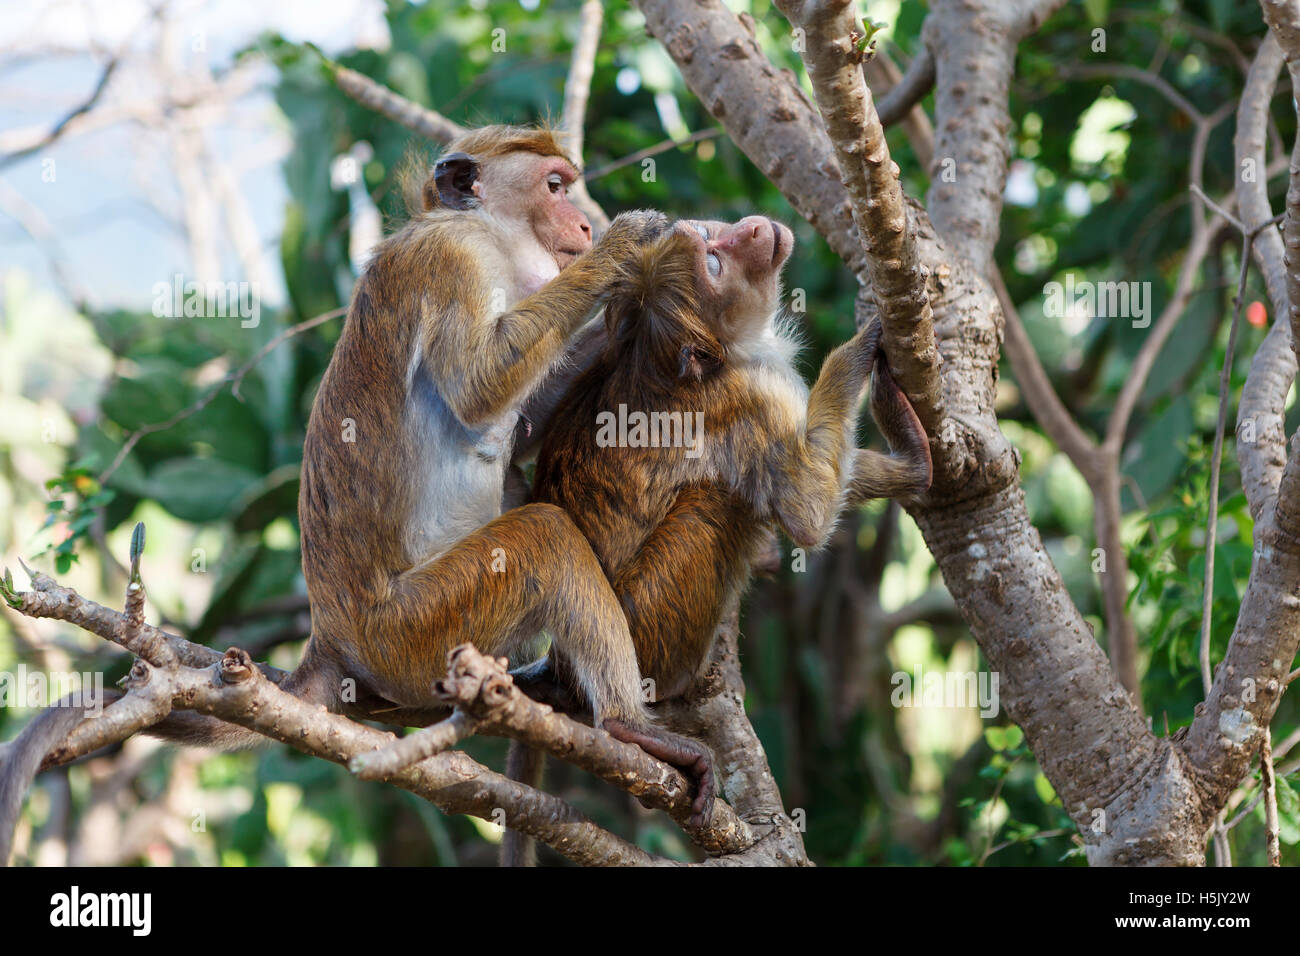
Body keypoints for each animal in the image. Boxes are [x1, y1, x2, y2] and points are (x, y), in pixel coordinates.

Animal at [0, 125, 716, 865]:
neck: (483, 229)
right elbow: (479, 386)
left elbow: (518, 422)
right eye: (554, 186)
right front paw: (627, 248)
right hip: (414, 629)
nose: (582, 223)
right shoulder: (452, 261)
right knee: (542, 534)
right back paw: (630, 726)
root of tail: (332, 636)